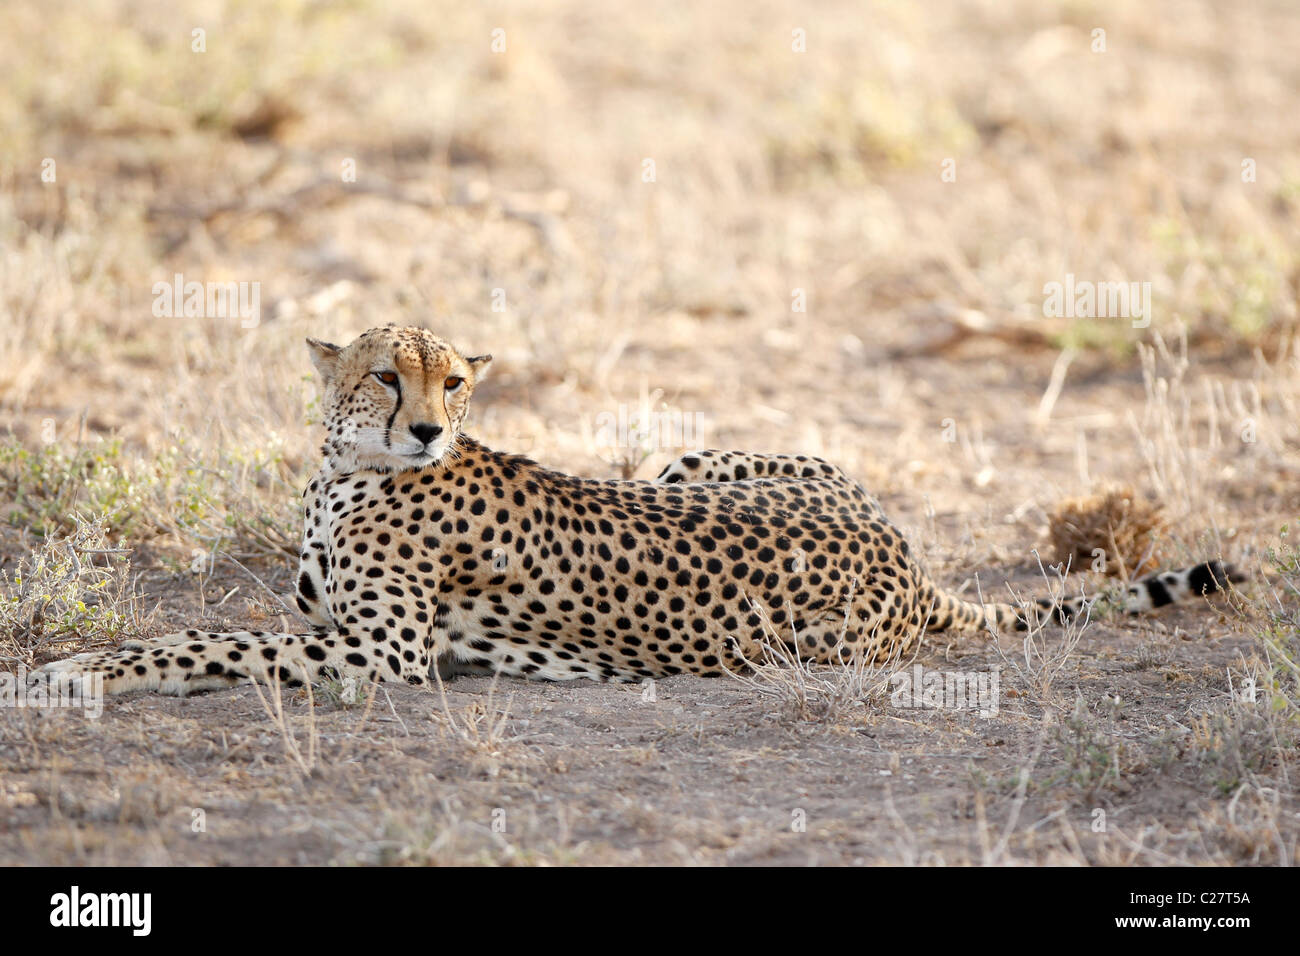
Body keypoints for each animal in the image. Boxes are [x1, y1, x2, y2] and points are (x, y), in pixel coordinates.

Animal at [33, 326, 1243, 697]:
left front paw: (77, 671)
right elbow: (230, 627)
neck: (351, 468)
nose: (425, 429)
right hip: (684, 460)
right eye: (385, 375)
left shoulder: (383, 653)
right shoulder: (340, 626)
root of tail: (902, 551)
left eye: (453, 382)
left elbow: (212, 636)